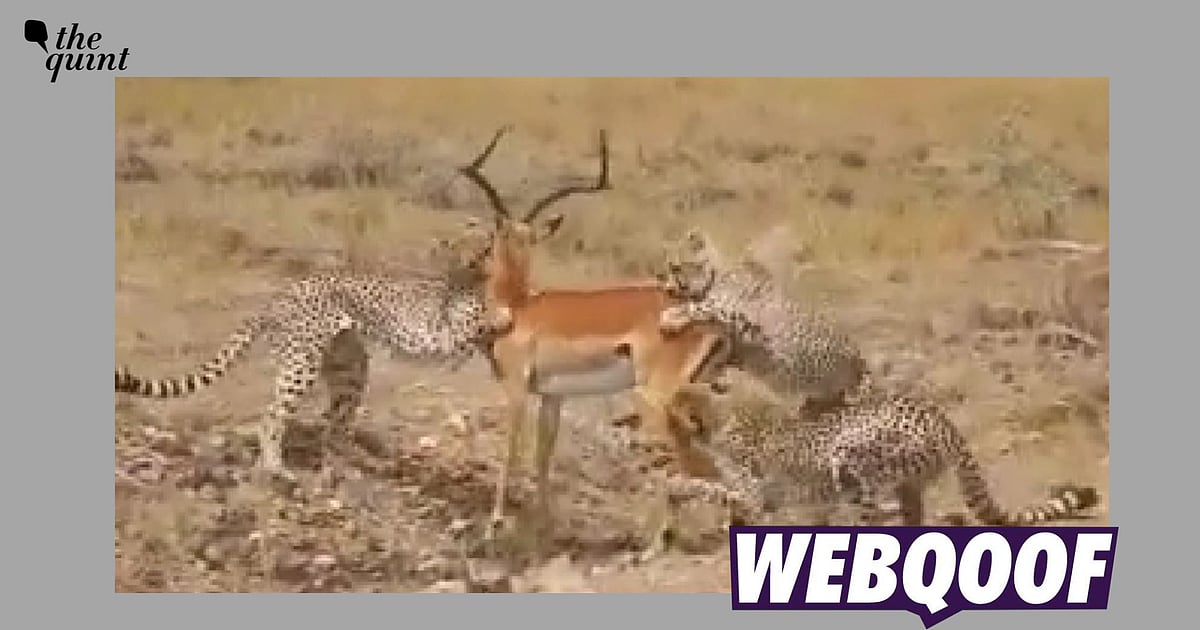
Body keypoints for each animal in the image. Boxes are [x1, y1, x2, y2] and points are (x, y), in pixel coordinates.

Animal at [453, 126, 734, 544]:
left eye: (491, 241)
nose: (473, 261)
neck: (519, 306)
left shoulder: (517, 387)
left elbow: (510, 448)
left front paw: (495, 523)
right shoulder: (553, 396)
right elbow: (543, 453)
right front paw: (547, 523)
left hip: (656, 396)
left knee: (683, 463)